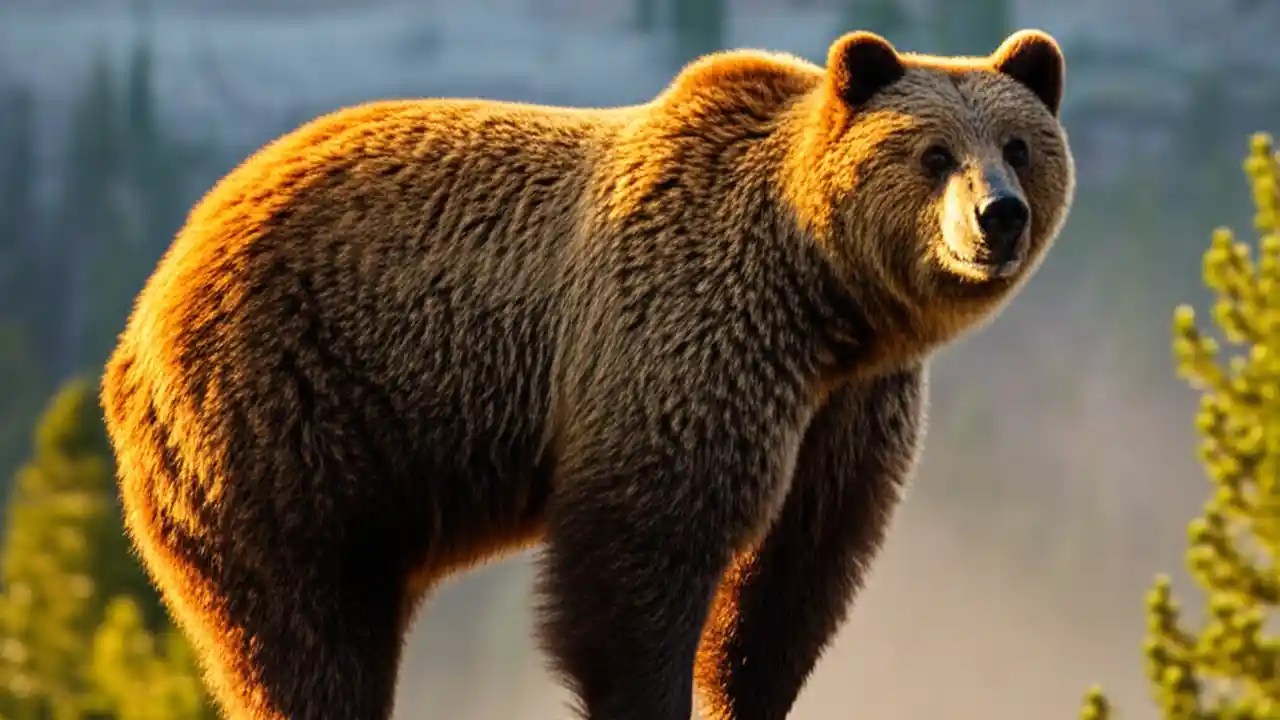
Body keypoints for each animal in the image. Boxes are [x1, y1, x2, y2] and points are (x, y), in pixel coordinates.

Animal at [99, 28, 1074, 720]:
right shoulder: (686, 337)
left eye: (1020, 145)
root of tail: (151, 297)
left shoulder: (849, 410)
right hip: (284, 418)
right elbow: (642, 555)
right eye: (933, 153)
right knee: (302, 628)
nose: (998, 216)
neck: (824, 300)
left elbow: (797, 571)